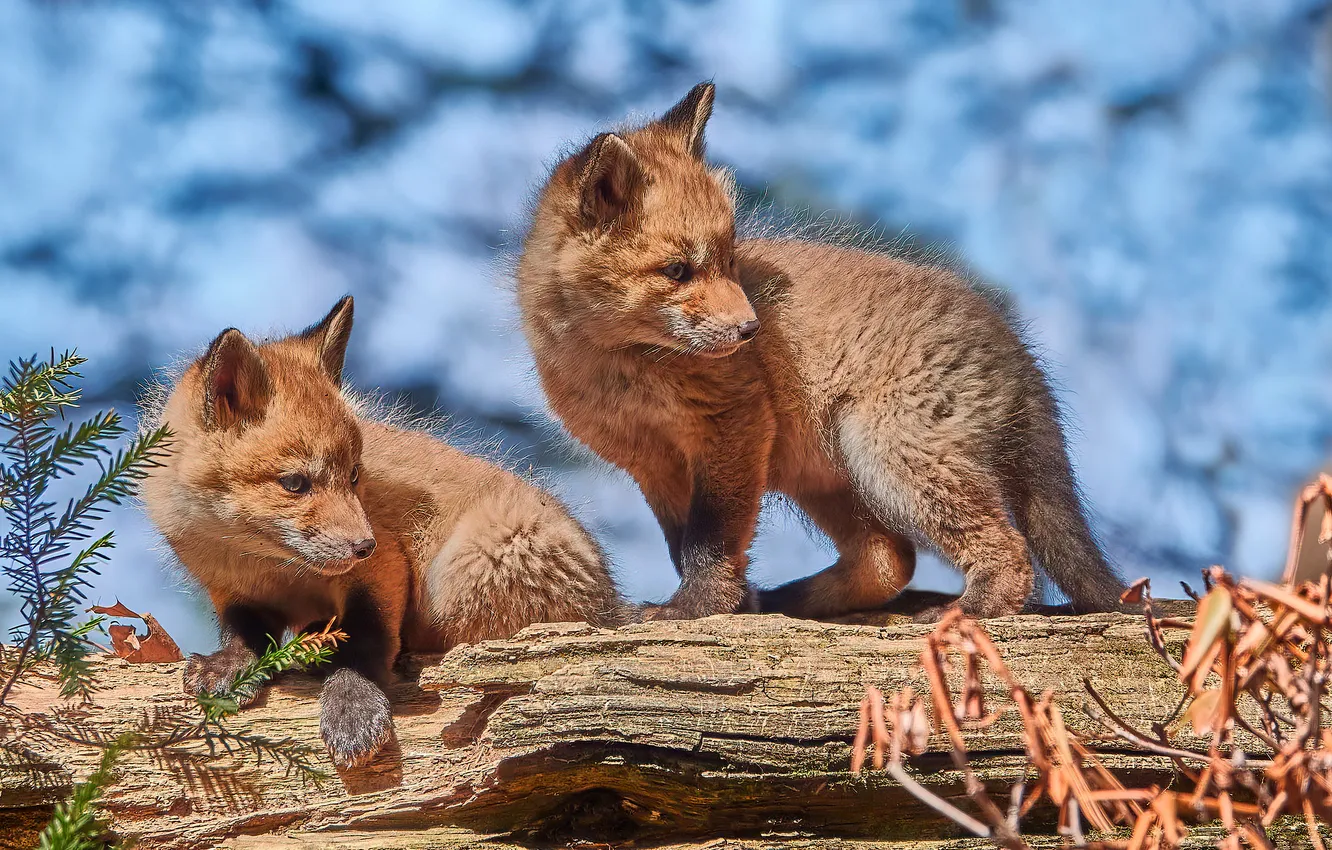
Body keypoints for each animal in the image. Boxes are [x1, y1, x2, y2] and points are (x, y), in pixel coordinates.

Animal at [140, 296, 627, 768]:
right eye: (295, 483)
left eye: (355, 474)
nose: (363, 545)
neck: (269, 563)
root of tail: (611, 606)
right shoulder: (229, 588)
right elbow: (244, 633)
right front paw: (232, 665)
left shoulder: (386, 566)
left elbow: (366, 640)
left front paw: (351, 704)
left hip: (470, 567)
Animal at [515, 82, 1125, 622]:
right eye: (677, 271)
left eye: (729, 260)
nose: (751, 330)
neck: (627, 368)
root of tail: (1015, 345)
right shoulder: (655, 466)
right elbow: (682, 545)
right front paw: (732, 603)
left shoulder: (733, 427)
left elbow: (708, 543)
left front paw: (698, 609)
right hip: (828, 477)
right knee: (890, 560)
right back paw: (790, 600)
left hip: (890, 453)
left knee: (1008, 551)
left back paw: (969, 612)